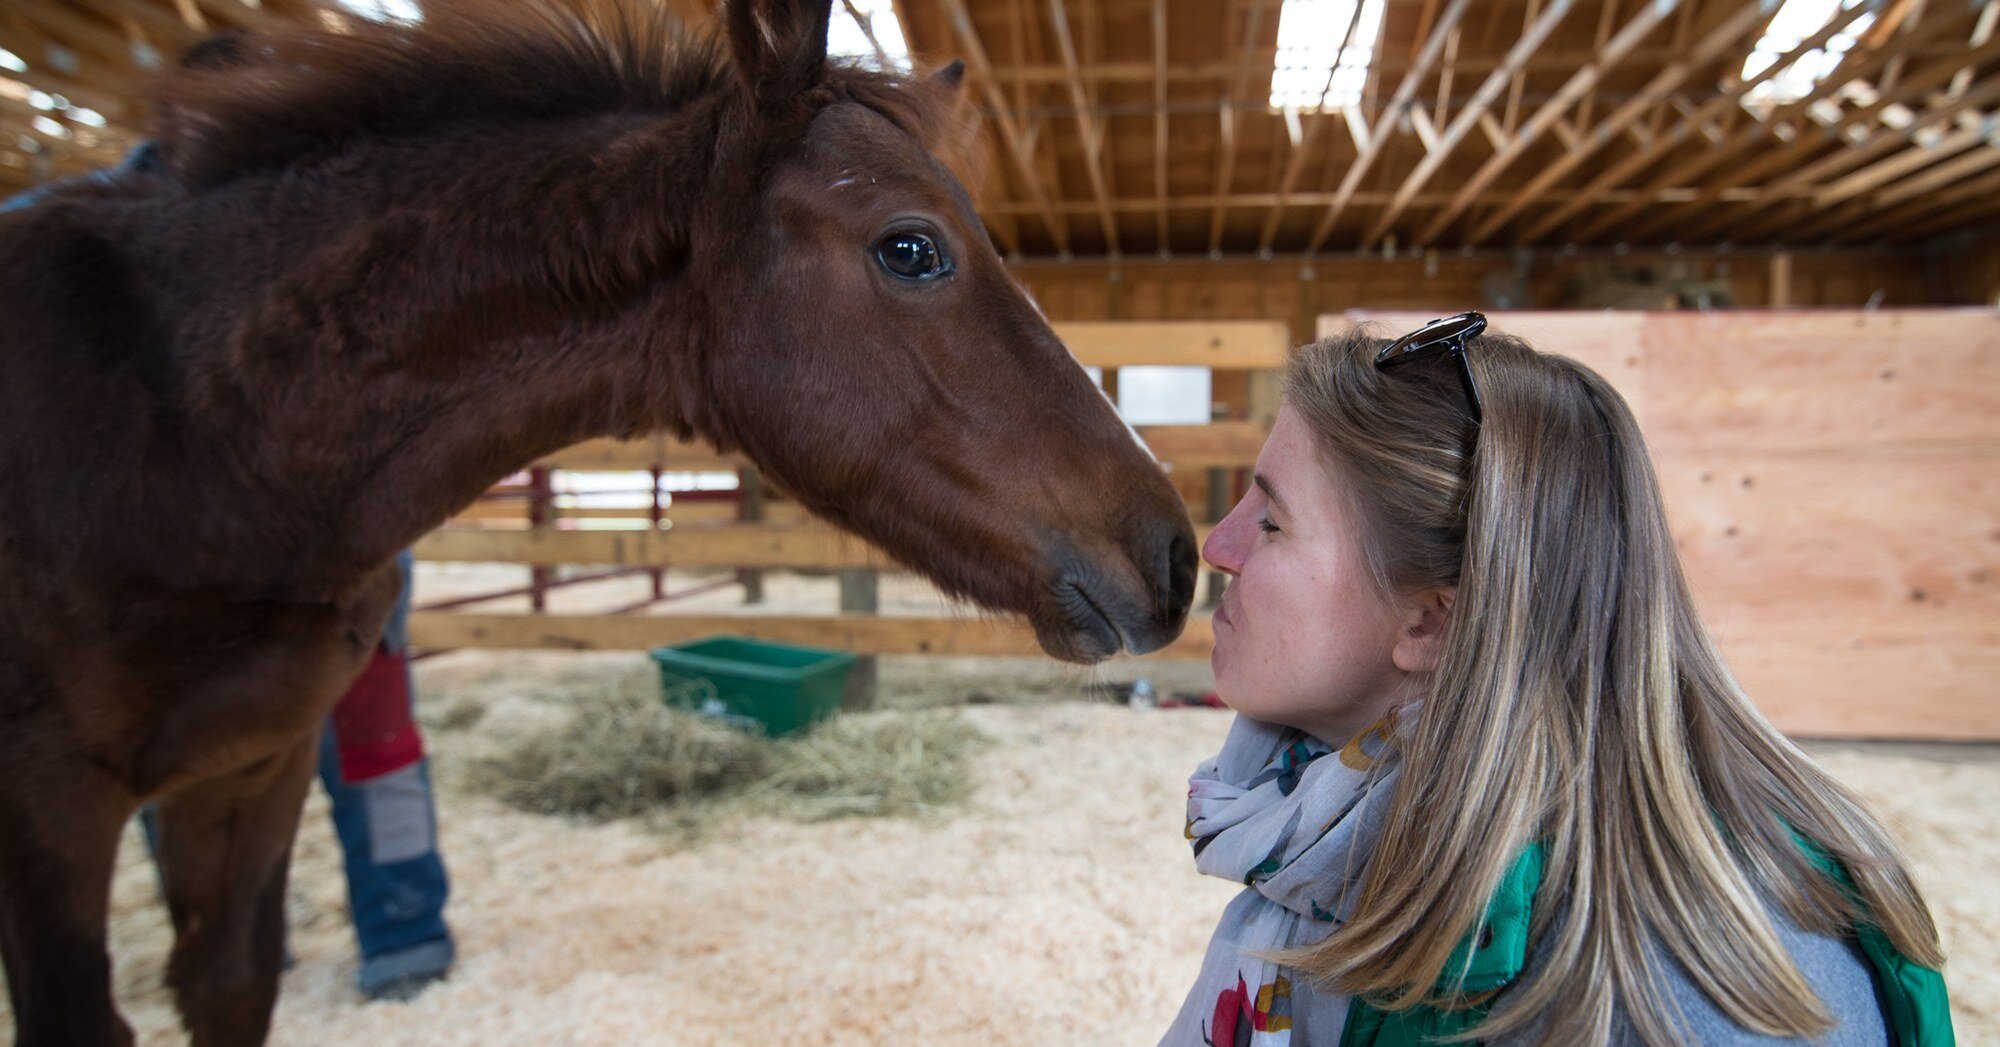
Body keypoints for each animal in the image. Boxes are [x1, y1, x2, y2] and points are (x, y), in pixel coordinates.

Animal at [0, 1, 1197, 1042]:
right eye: (911, 247)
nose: (1175, 556)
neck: (191, 431)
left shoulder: (257, 765)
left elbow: (228, 983)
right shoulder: (48, 809)